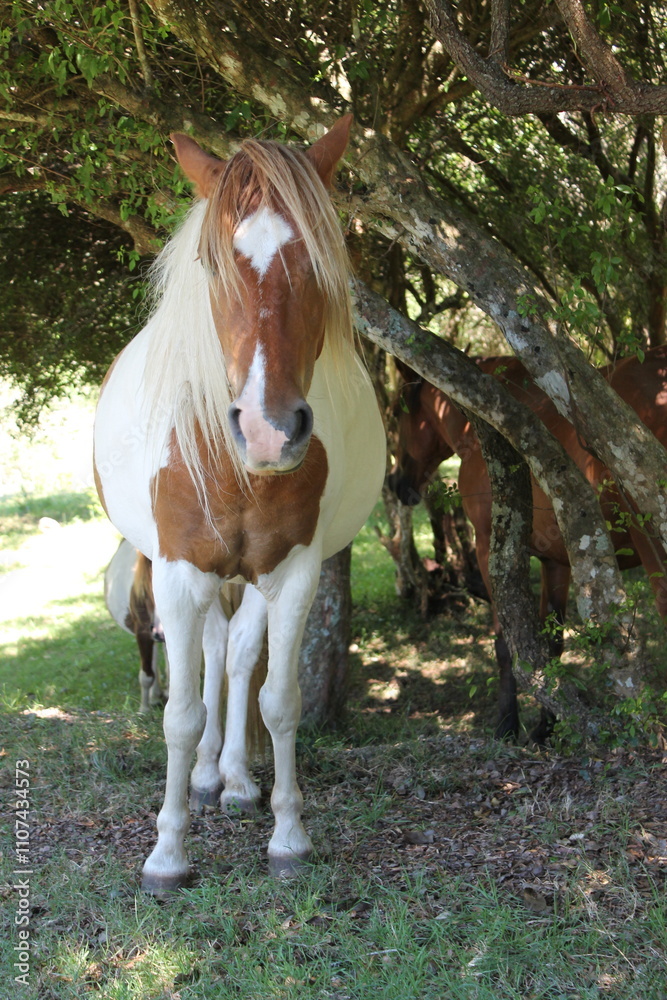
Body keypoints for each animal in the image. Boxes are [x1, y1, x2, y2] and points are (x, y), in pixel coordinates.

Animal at [93, 116, 386, 892]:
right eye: (211, 263)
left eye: (314, 260)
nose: (267, 429)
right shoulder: (176, 572)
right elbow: (180, 713)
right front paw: (167, 853)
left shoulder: (294, 573)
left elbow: (278, 701)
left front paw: (288, 835)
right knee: (211, 661)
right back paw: (202, 779)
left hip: (249, 578)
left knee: (236, 657)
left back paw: (233, 781)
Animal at [389, 348, 667, 738]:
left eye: (398, 414)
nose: (396, 483)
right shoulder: (557, 562)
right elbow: (551, 645)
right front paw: (546, 727)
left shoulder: (490, 547)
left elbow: (507, 643)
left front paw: (507, 724)